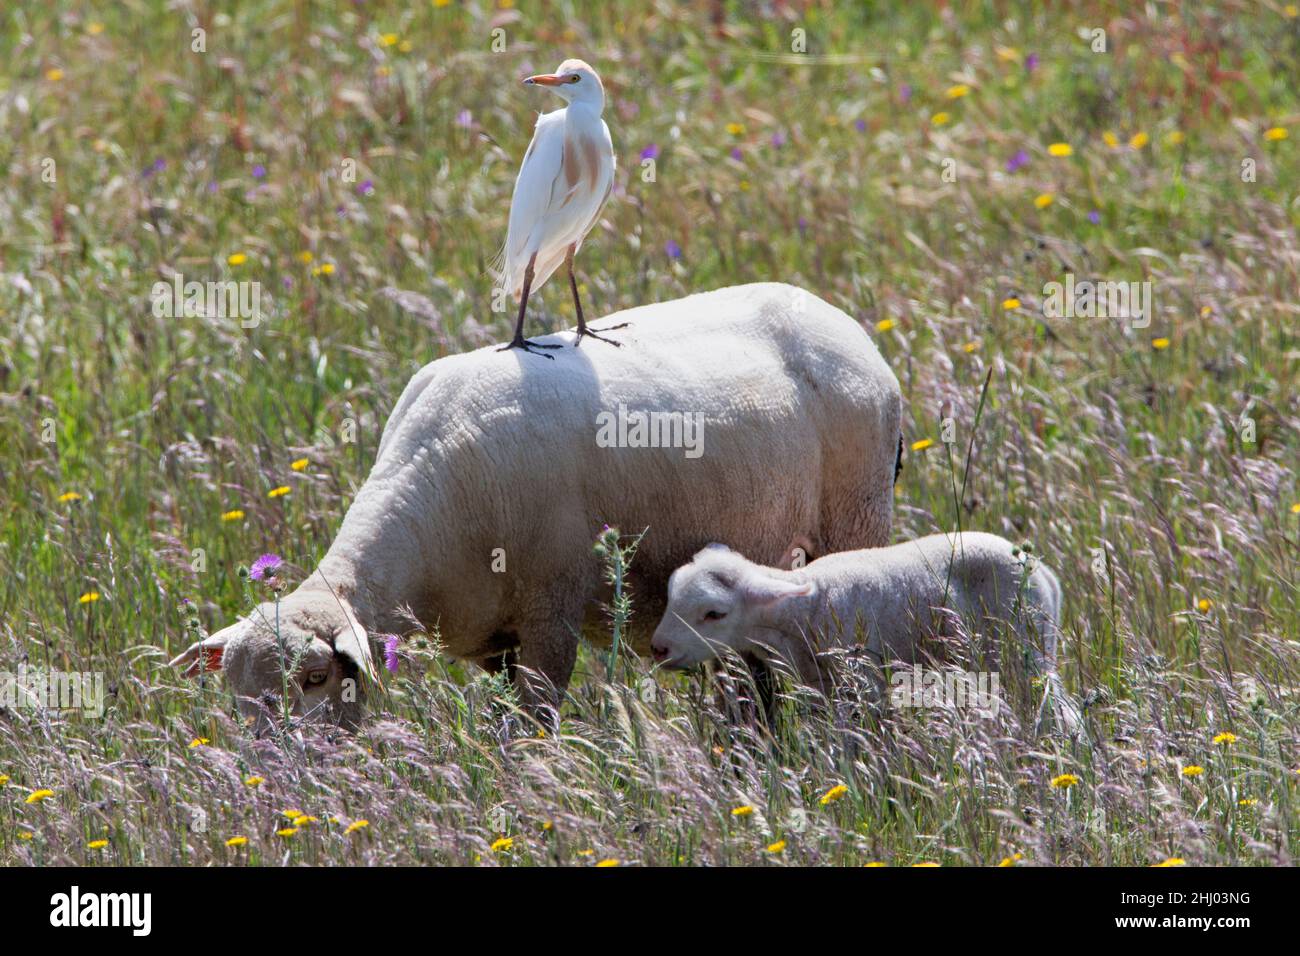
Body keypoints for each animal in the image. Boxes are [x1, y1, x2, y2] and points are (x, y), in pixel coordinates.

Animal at [170, 282, 902, 729]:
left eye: (316, 677)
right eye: (235, 692)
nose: (273, 771)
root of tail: (839, 321)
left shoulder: (551, 613)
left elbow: (535, 725)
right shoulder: (490, 636)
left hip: (856, 516)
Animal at [649, 532, 1079, 734]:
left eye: (714, 613)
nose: (659, 649)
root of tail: (1044, 573)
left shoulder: (862, 679)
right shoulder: (820, 687)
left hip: (1025, 648)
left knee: (1057, 710)